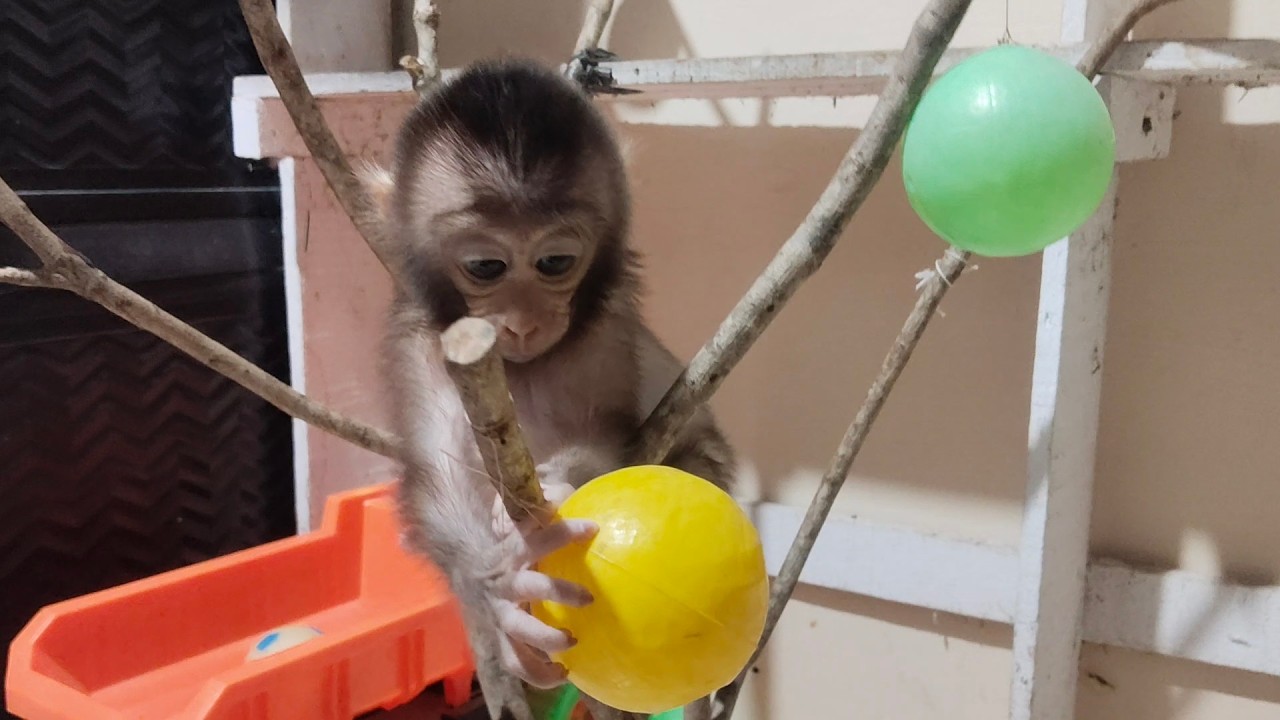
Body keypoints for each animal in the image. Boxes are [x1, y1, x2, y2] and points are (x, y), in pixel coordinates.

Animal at [363, 56, 737, 710]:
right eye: (486, 267)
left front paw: (563, 480)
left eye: (554, 263)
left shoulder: (605, 330)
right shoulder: (422, 347)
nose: (524, 320)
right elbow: (437, 474)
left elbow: (632, 444)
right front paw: (506, 600)